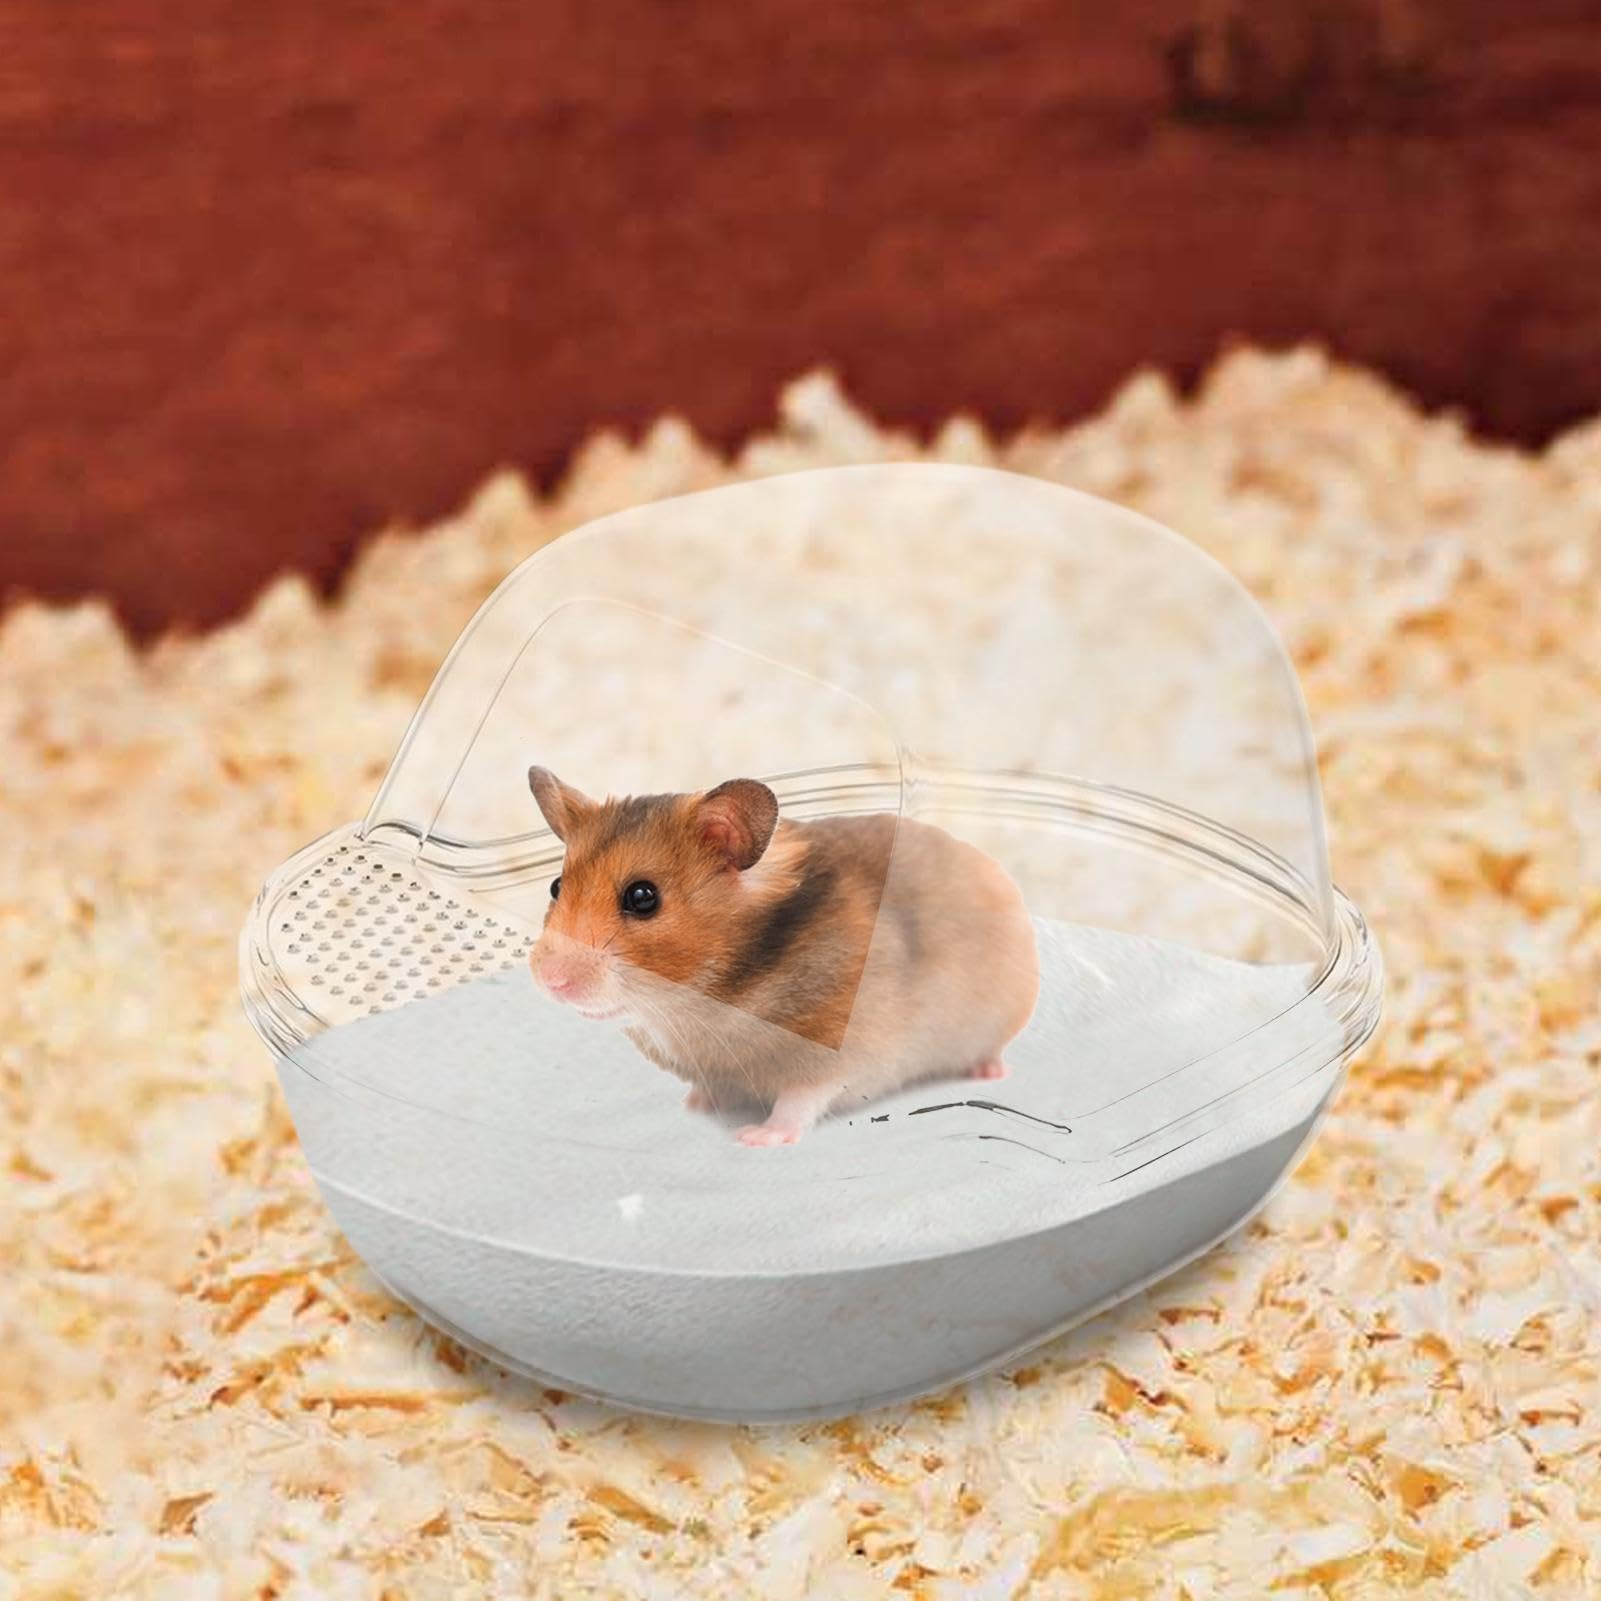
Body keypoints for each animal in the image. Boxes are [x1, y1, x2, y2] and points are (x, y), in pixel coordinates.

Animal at [526, 767, 1039, 1146]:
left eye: (642, 896)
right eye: (555, 886)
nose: (550, 981)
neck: (704, 1001)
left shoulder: (839, 1052)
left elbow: (801, 1098)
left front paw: (756, 1137)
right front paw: (693, 1105)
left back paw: (991, 1071)